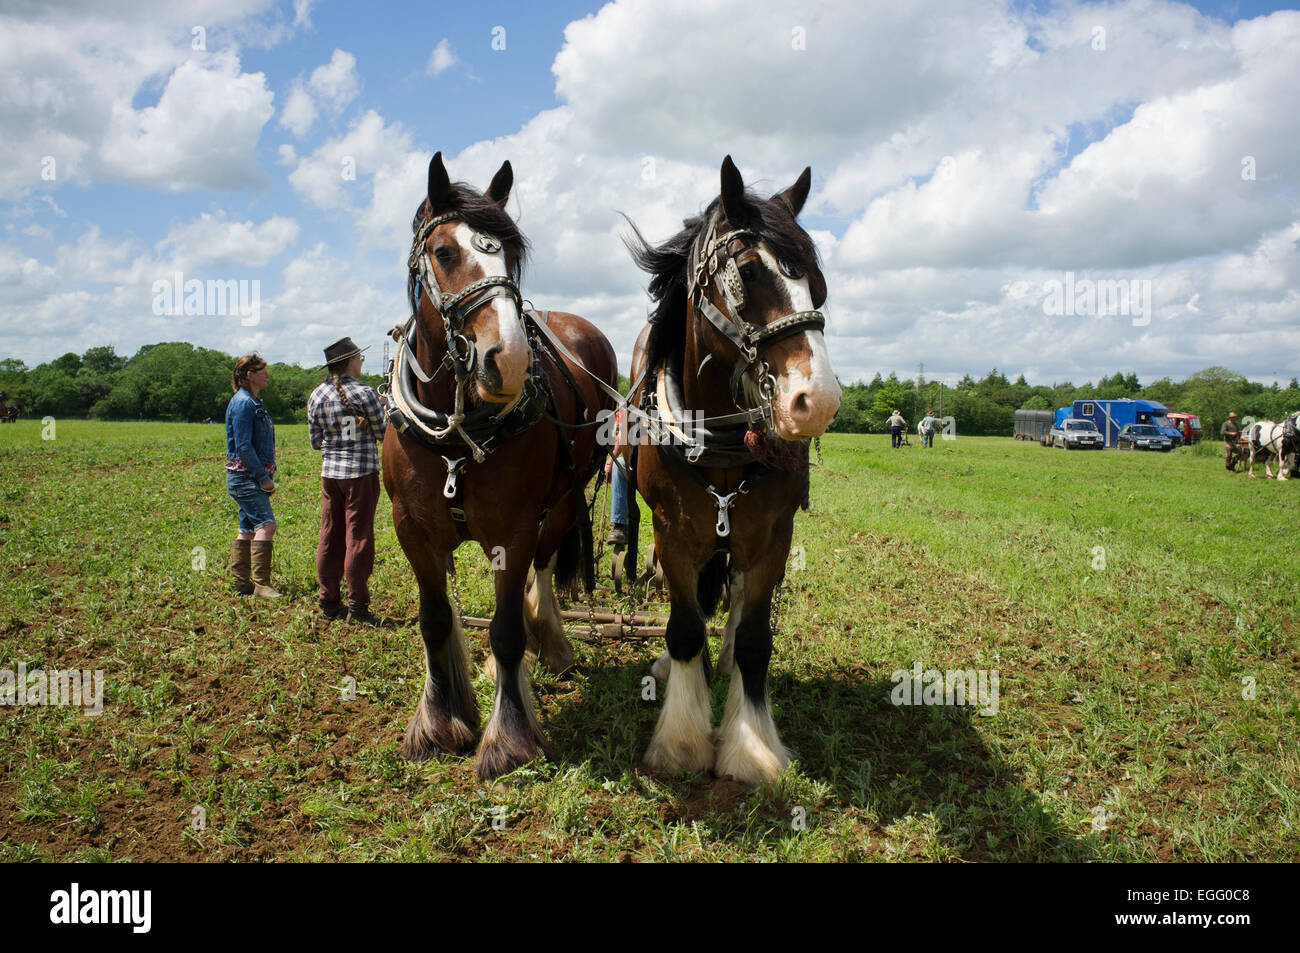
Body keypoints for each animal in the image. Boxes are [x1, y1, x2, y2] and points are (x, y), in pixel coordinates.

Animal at [382, 152, 616, 781]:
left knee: (543, 566)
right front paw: (438, 723)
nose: (506, 359)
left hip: (566, 497)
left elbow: (508, 627)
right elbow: (436, 620)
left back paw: (551, 641)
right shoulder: (411, 529)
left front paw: (508, 739)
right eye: (444, 252)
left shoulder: (512, 528)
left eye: (510, 255)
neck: (456, 430)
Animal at [620, 156, 841, 786]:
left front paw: (751, 748)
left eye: (817, 285)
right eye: (747, 272)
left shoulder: (772, 538)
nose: (816, 401)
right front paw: (681, 743)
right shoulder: (672, 533)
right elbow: (684, 627)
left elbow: (754, 641)